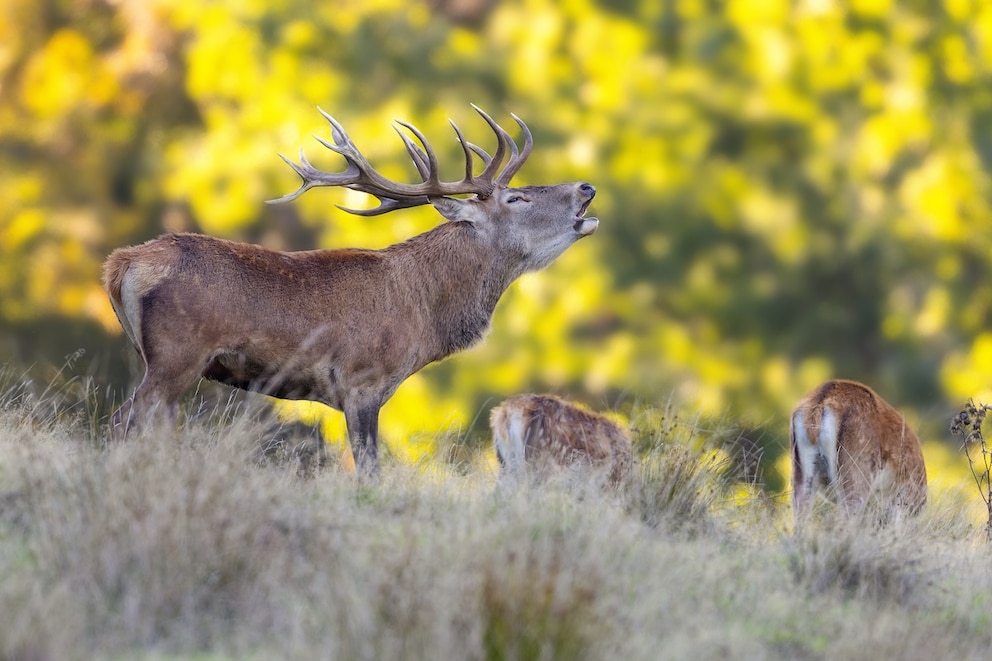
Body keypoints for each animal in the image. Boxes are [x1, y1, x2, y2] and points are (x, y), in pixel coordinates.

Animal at [102, 106, 599, 476]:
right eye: (517, 198)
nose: (586, 187)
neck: (424, 314)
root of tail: (120, 264)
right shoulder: (362, 380)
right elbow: (369, 470)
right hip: (178, 352)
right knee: (124, 421)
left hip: (154, 357)